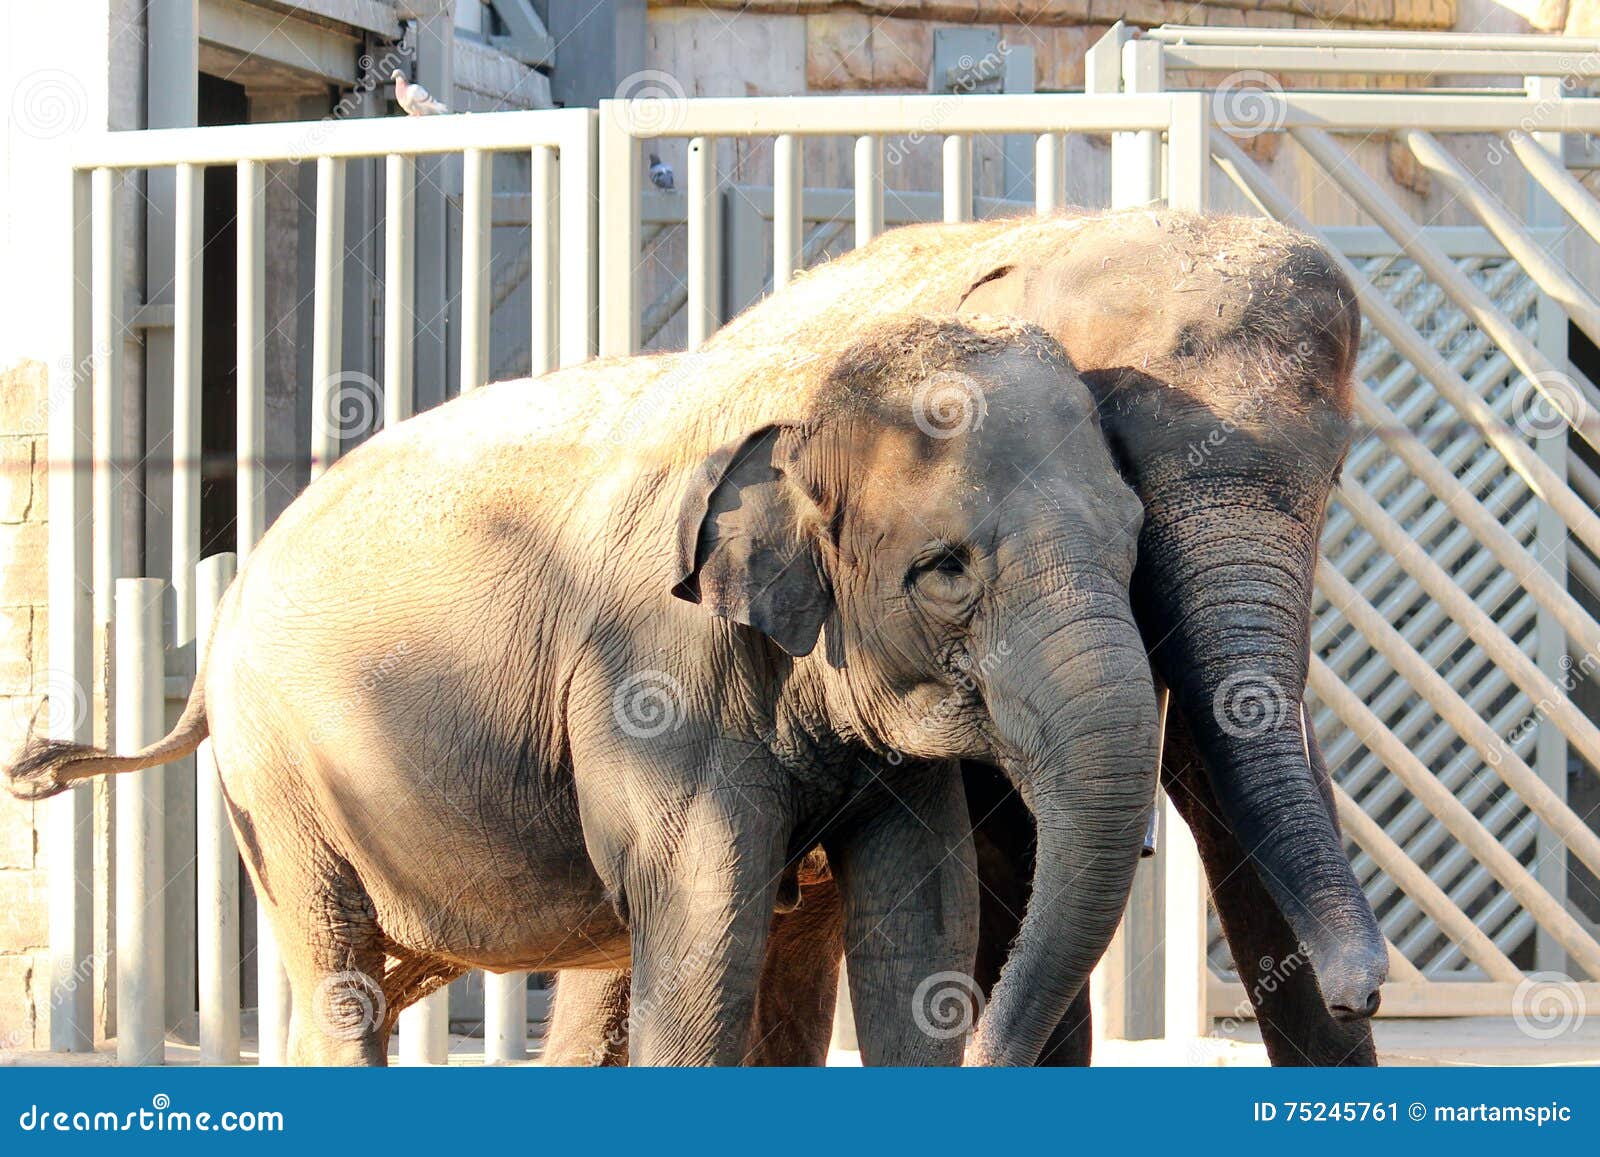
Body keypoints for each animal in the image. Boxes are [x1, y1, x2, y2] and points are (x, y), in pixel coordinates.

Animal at [12, 315, 1164, 1068]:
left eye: (1136, 541)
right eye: (944, 570)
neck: (811, 378)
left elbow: (920, 921)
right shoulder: (649, 667)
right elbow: (702, 924)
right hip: (281, 779)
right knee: (341, 976)